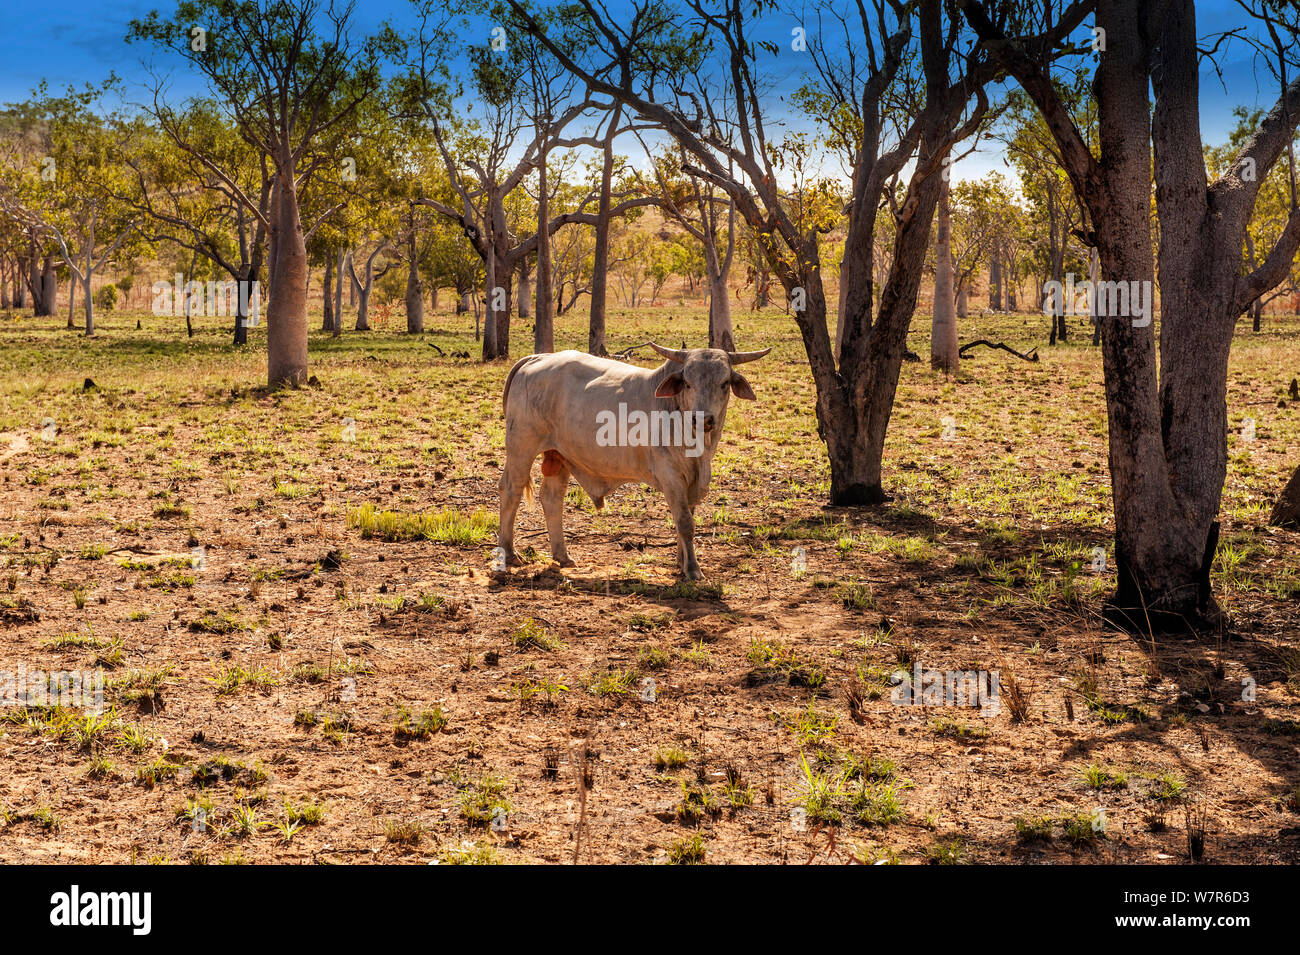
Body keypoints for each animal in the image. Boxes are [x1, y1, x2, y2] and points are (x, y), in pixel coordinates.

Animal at [498, 342, 771, 579]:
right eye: (688, 383)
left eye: (724, 383)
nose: (703, 419)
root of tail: (537, 358)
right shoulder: (671, 476)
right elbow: (685, 523)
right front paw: (693, 569)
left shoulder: (692, 482)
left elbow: (685, 519)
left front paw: (682, 563)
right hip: (521, 447)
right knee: (511, 491)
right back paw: (509, 552)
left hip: (559, 455)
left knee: (552, 499)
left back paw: (562, 556)